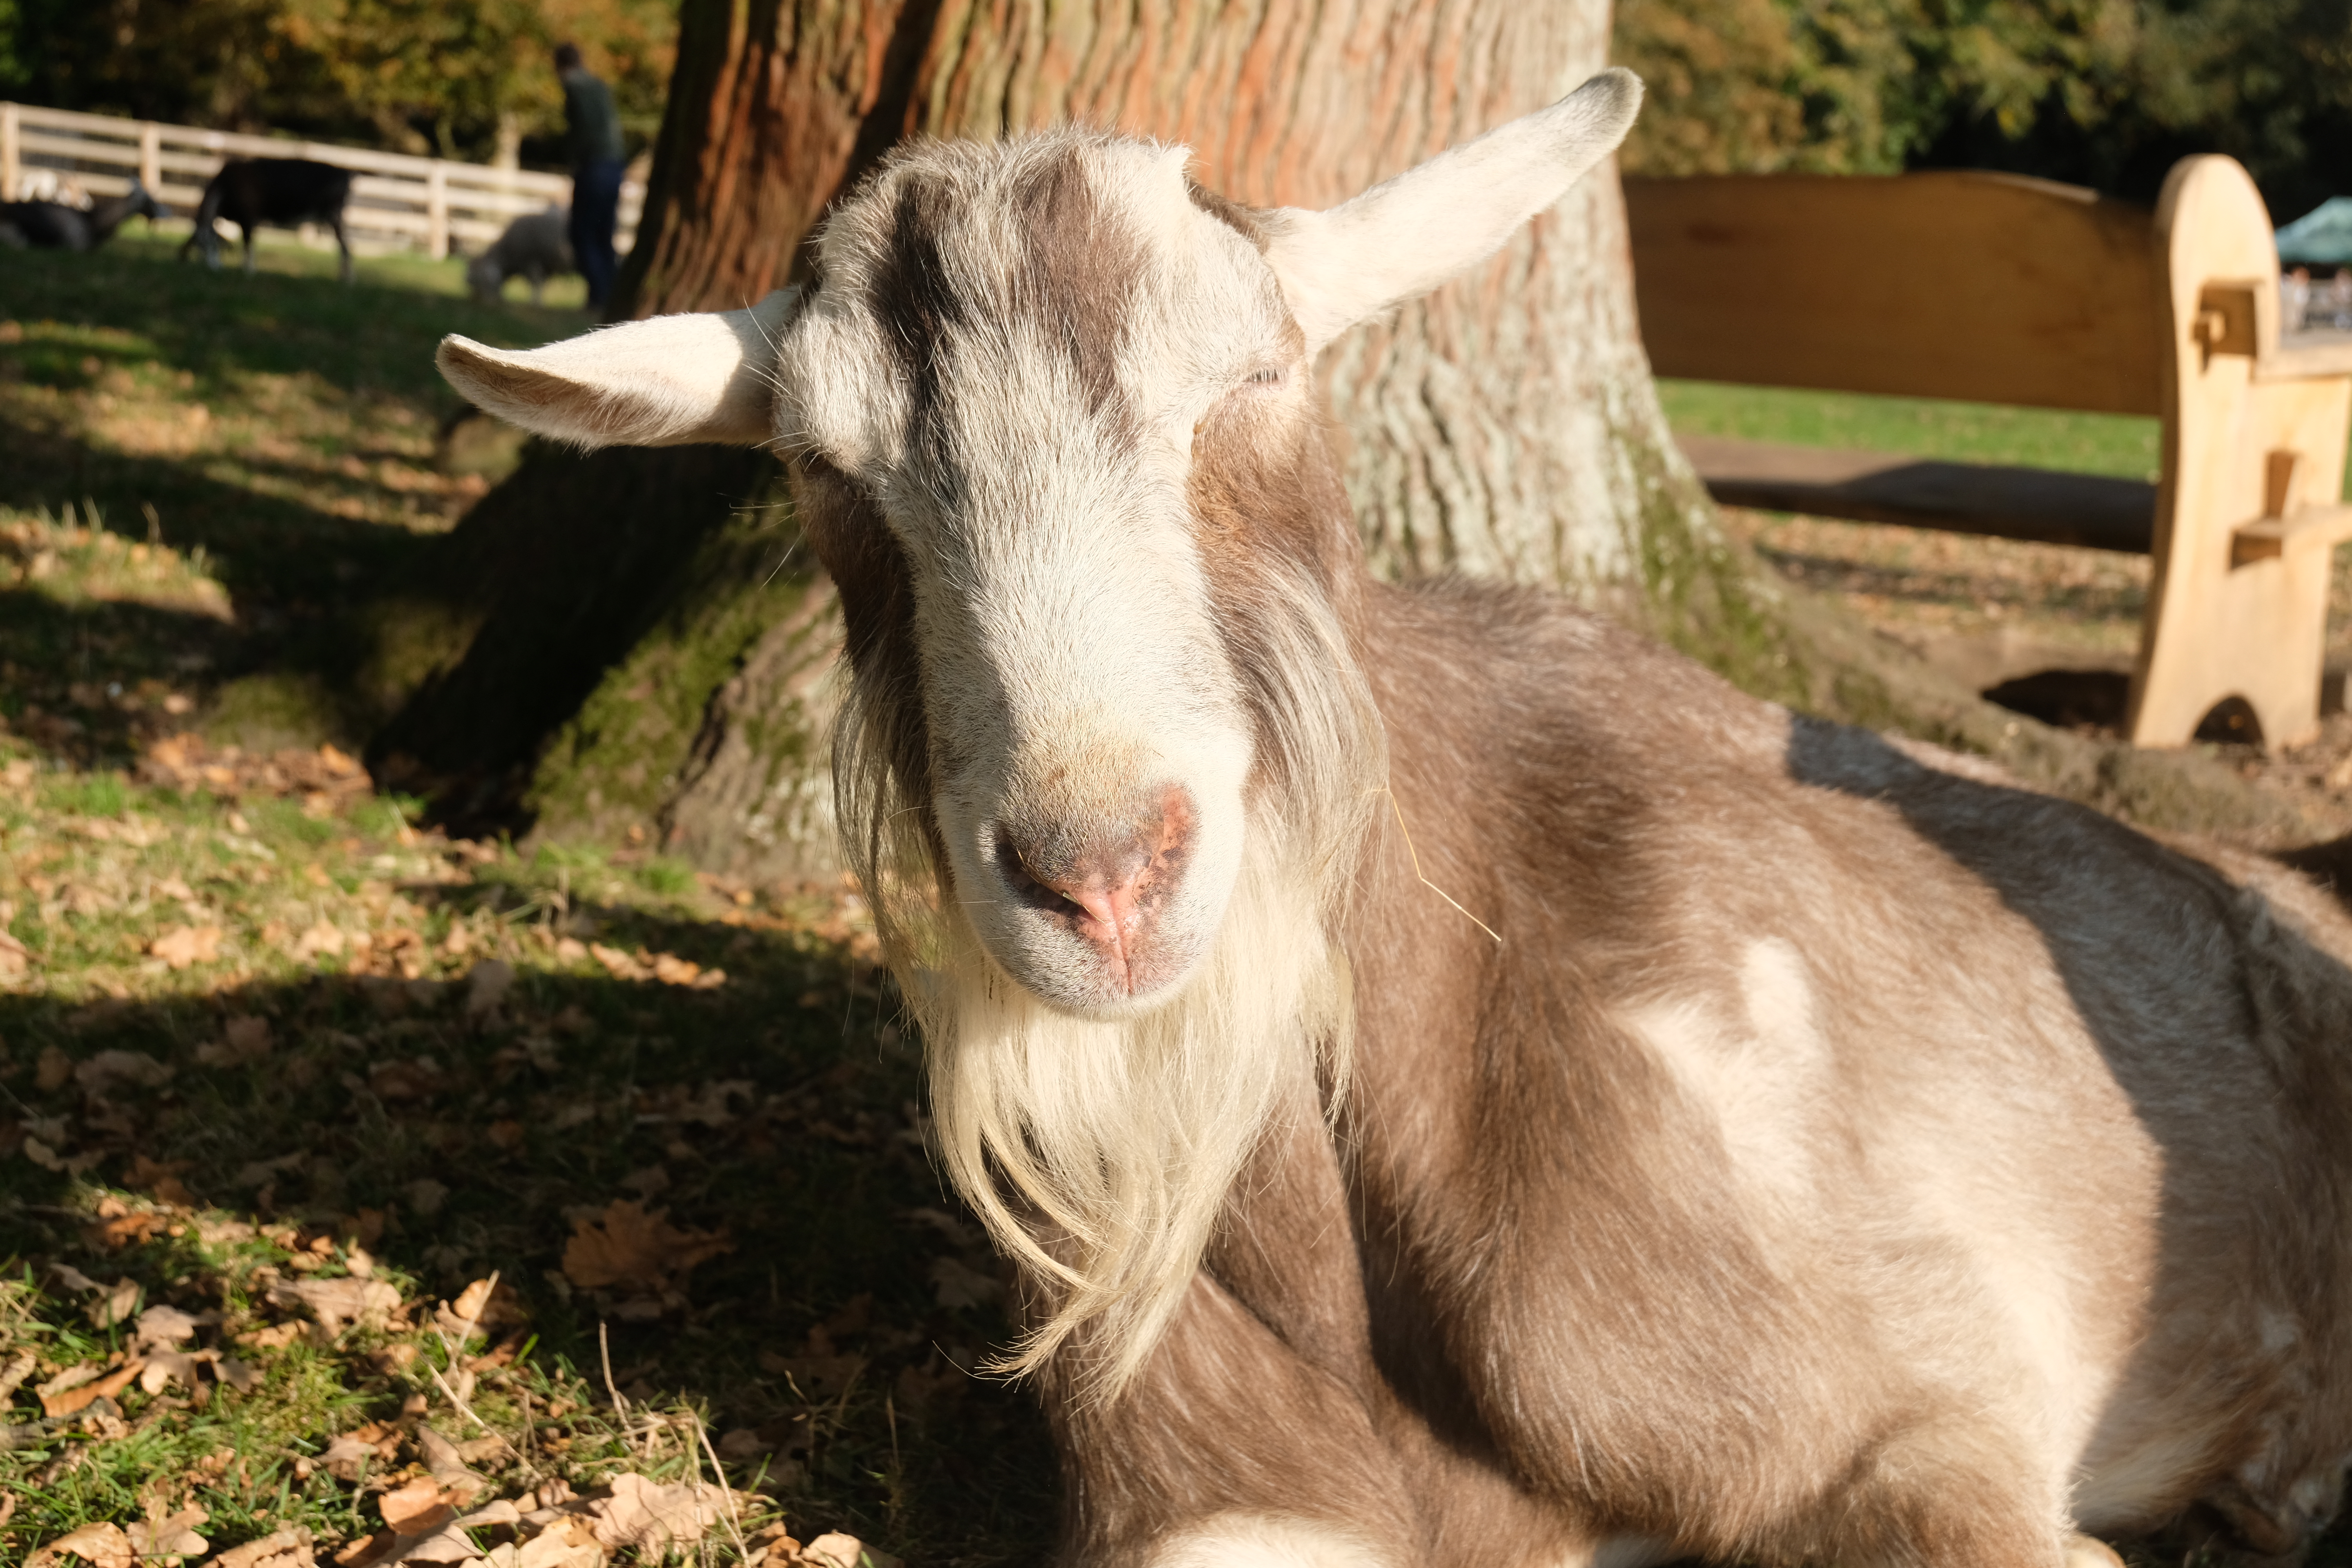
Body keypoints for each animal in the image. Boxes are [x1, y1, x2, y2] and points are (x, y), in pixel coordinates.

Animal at [181, 158, 355, 283]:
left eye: (212, 241)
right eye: (200, 245)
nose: (214, 269)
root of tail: (344, 172)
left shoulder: (249, 217)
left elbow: (248, 245)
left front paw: (249, 272)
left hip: (334, 215)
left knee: (346, 248)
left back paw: (348, 282)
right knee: (344, 248)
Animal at [466, 210, 574, 305]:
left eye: (478, 280)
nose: (475, 300)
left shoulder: (533, 262)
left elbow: (536, 284)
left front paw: (535, 303)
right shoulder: (546, 267)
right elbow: (542, 285)